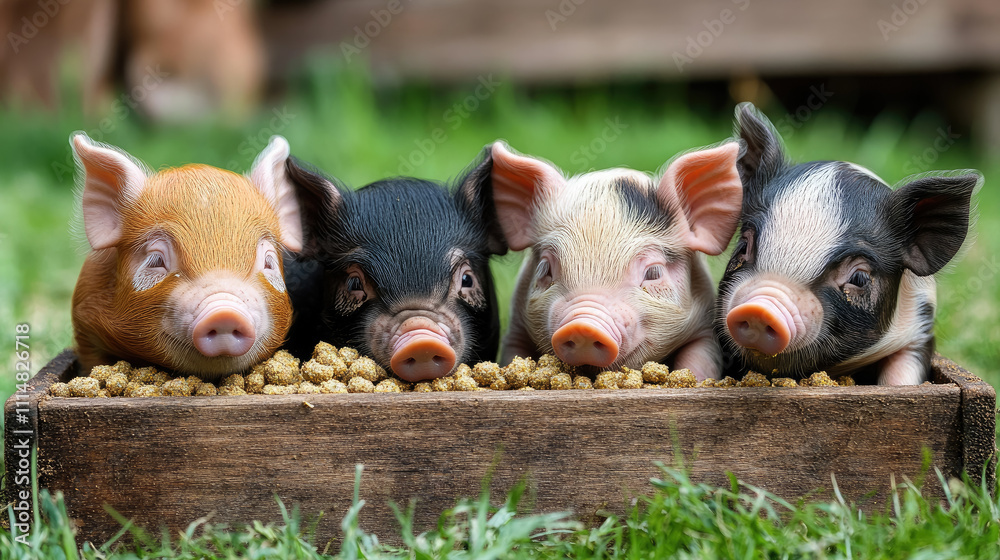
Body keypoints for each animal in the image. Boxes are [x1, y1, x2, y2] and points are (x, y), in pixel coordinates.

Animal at [490, 140, 744, 380]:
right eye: (545, 269)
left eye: (654, 273)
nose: (583, 325)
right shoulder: (516, 324)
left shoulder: (704, 325)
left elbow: (698, 359)